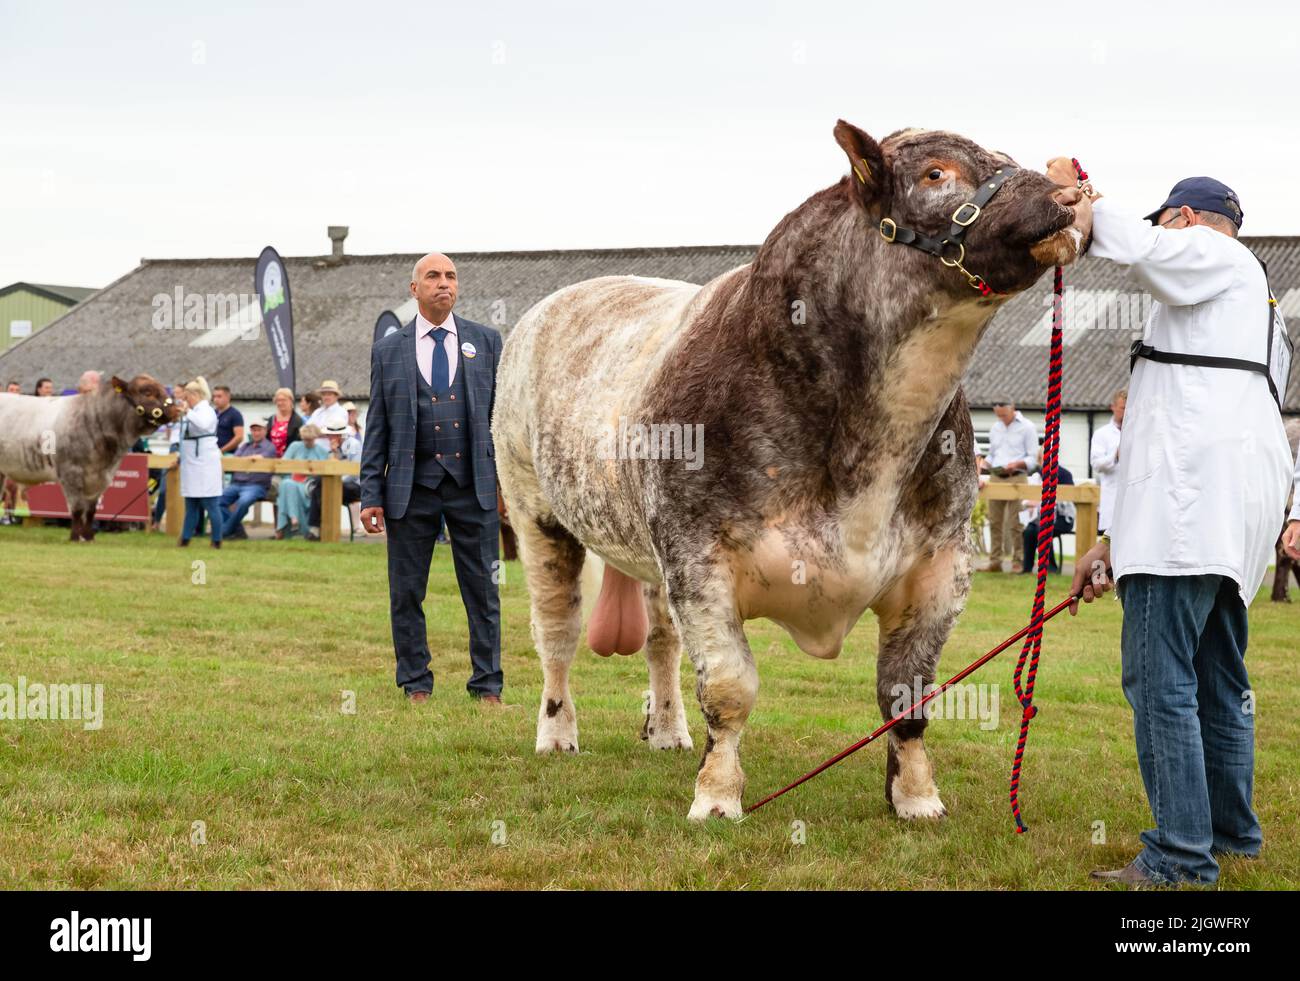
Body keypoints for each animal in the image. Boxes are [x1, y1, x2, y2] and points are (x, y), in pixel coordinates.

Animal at [0, 375, 179, 542]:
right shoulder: (70, 472)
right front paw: (75, 537)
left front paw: (88, 537)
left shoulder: (102, 476)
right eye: (147, 392)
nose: (176, 410)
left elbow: (91, 510)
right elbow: (77, 509)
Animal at [492, 121, 1092, 821]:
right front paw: (717, 796)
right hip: (536, 513)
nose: (1067, 194)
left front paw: (917, 798)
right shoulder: (700, 558)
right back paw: (557, 732)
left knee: (661, 640)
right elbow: (730, 688)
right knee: (555, 633)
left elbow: (907, 695)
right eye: (936, 174)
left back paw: (667, 729)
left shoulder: (940, 564)